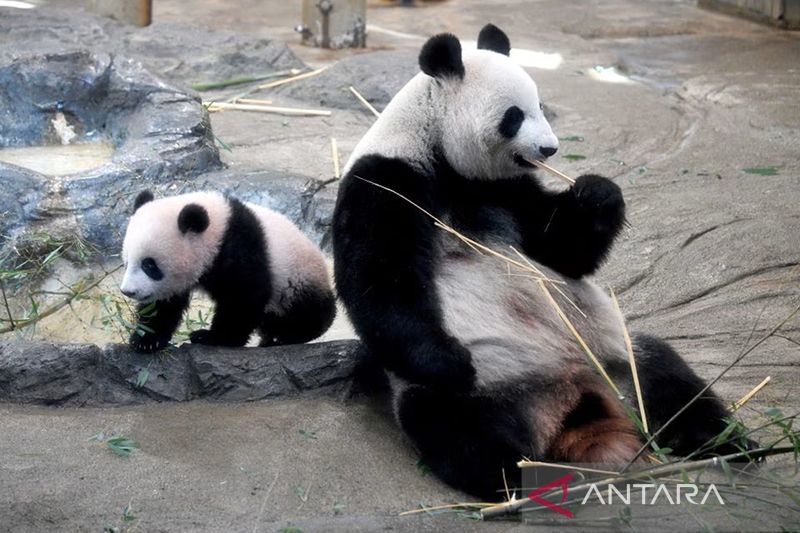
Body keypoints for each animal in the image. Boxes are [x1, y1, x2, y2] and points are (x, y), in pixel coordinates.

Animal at [120, 190, 336, 353]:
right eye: (127, 262)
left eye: (149, 265)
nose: (128, 291)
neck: (218, 228)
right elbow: (164, 304)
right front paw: (146, 340)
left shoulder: (241, 248)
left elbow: (243, 298)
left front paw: (212, 337)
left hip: (297, 278)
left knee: (307, 312)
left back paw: (285, 336)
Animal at [332, 24, 756, 499]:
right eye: (514, 115)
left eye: (541, 105)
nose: (550, 149)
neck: (438, 149)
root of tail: (575, 397)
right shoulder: (387, 180)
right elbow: (381, 280)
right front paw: (450, 361)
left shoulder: (507, 191)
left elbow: (563, 249)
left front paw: (596, 193)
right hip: (486, 389)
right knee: (454, 427)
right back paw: (516, 478)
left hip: (616, 358)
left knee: (670, 380)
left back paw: (732, 443)